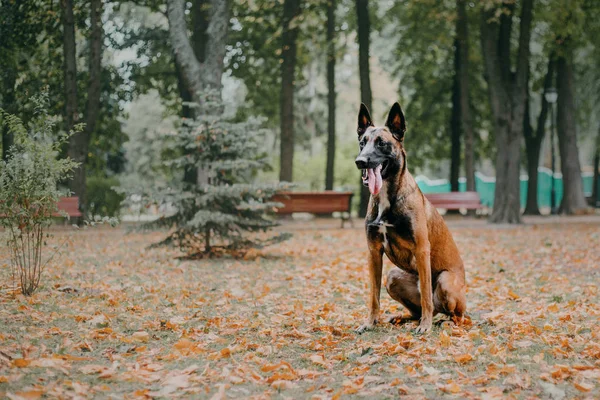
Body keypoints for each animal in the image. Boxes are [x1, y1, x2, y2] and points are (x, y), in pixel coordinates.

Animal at [354, 101, 466, 332]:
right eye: (362, 142)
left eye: (382, 143)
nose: (360, 161)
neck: (388, 196)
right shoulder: (373, 252)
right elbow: (373, 296)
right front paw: (370, 322)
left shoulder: (422, 249)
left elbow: (425, 296)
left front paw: (425, 325)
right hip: (392, 277)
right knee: (417, 310)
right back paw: (402, 317)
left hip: (445, 280)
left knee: (454, 314)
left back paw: (442, 321)